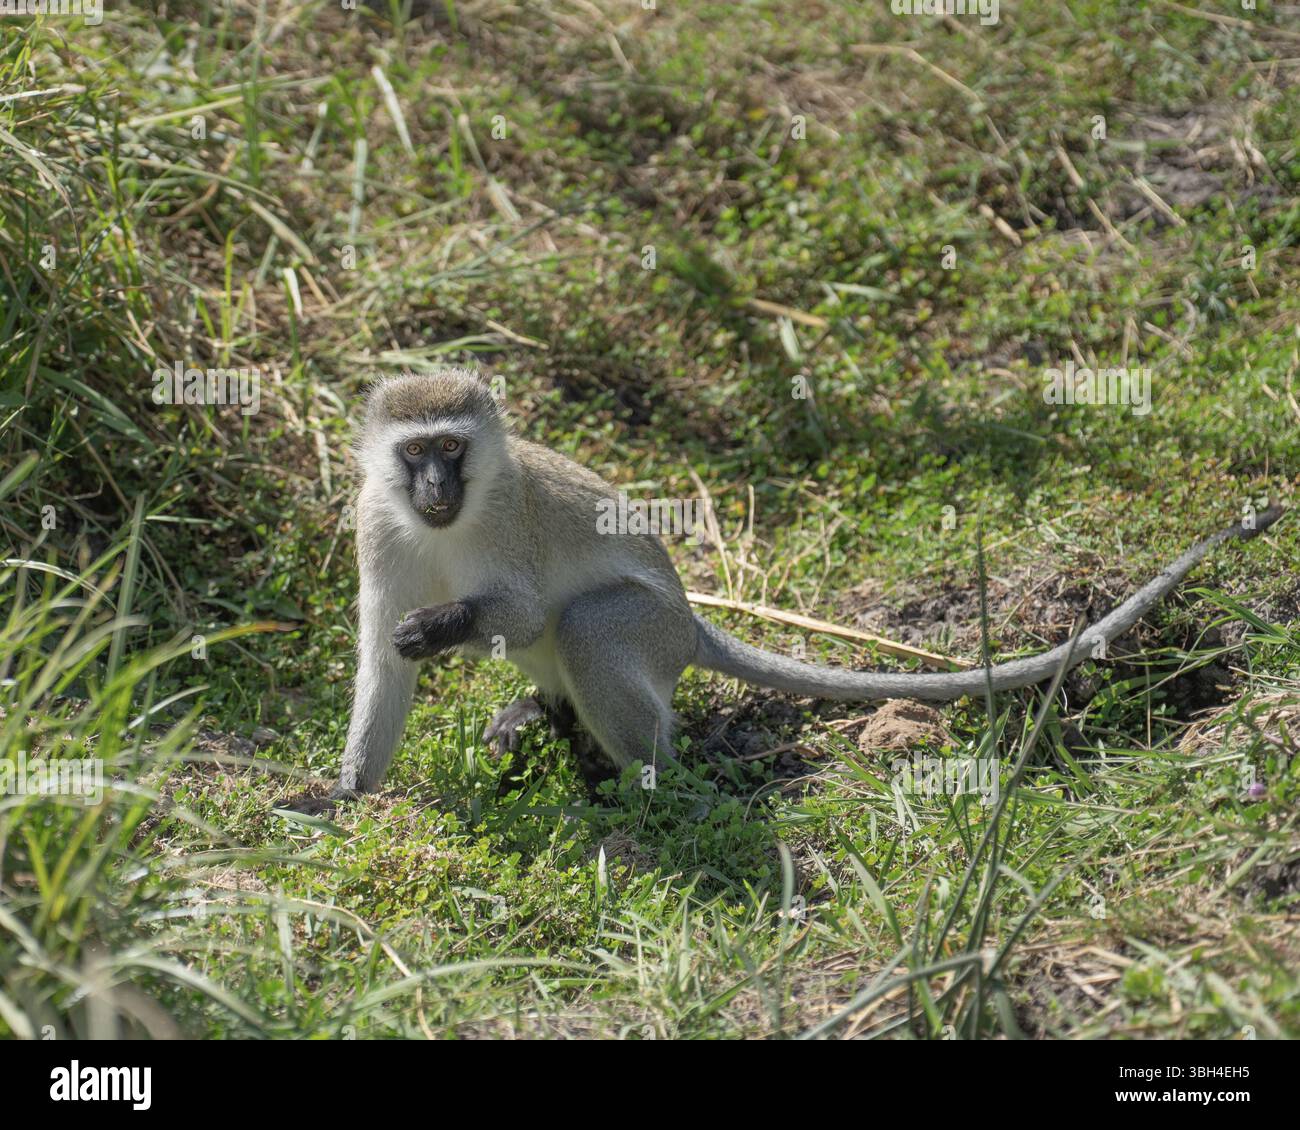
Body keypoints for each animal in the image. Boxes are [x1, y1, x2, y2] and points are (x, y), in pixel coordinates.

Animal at [284, 368, 1284, 814]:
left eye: (454, 449)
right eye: (416, 452)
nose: (435, 487)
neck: (438, 526)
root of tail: (693, 625)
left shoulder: (503, 517)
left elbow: (522, 609)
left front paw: (445, 622)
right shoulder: (375, 520)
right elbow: (382, 661)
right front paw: (342, 796)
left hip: (651, 632)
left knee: (585, 626)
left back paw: (657, 792)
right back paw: (547, 723)